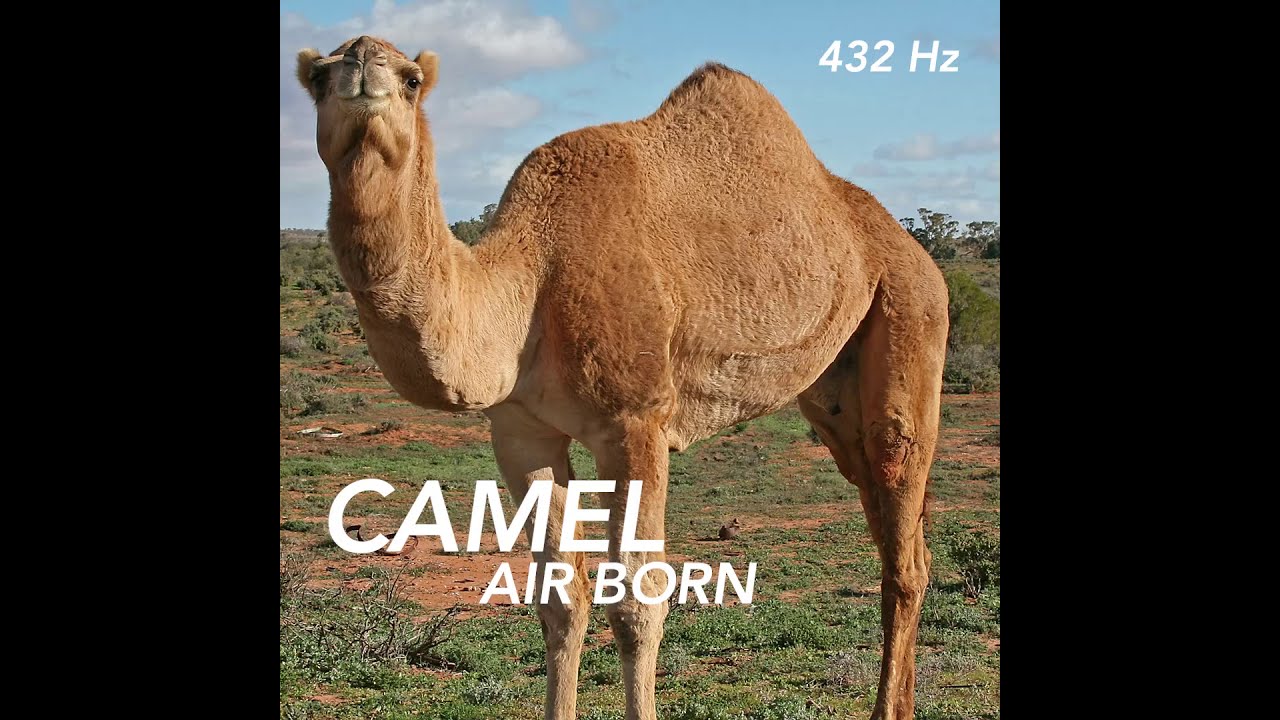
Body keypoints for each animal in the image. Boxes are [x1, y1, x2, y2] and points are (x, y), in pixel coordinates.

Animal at [295, 36, 949, 720]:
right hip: (834, 393)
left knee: (902, 524)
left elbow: (638, 599)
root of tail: (910, 247)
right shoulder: (521, 433)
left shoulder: (636, 421)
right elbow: (560, 595)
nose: (362, 65)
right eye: (317, 77)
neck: (532, 282)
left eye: (412, 79)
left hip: (910, 310)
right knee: (893, 524)